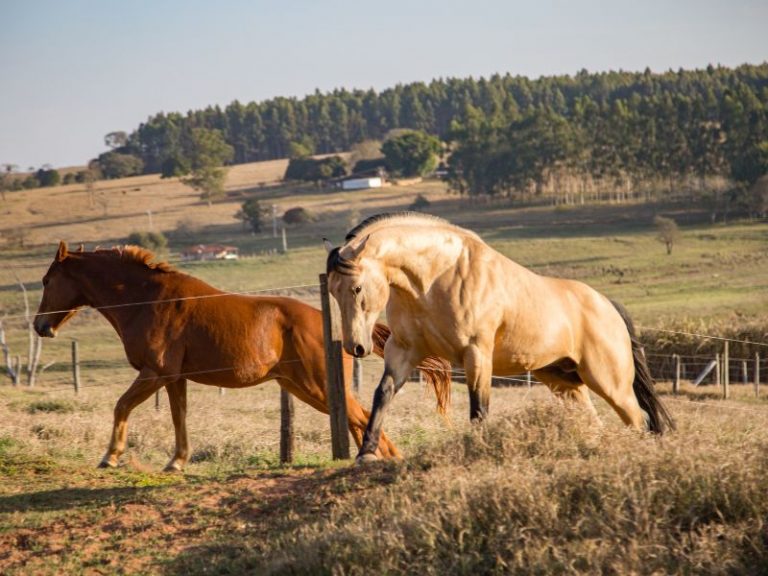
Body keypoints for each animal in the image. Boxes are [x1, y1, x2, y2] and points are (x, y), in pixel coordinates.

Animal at [33, 241, 451, 471]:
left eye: (47, 280)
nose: (40, 326)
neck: (146, 300)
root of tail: (341, 331)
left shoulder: (154, 373)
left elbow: (121, 406)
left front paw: (111, 456)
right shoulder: (174, 379)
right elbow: (179, 419)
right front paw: (176, 461)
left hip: (317, 387)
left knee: (361, 418)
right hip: (305, 389)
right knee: (358, 418)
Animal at [326, 212, 674, 463]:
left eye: (357, 288)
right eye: (333, 290)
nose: (356, 346)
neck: (435, 278)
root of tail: (607, 306)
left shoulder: (476, 354)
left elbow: (479, 407)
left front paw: (476, 450)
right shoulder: (403, 351)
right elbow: (382, 394)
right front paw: (366, 453)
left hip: (609, 384)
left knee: (638, 419)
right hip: (565, 384)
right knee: (597, 422)